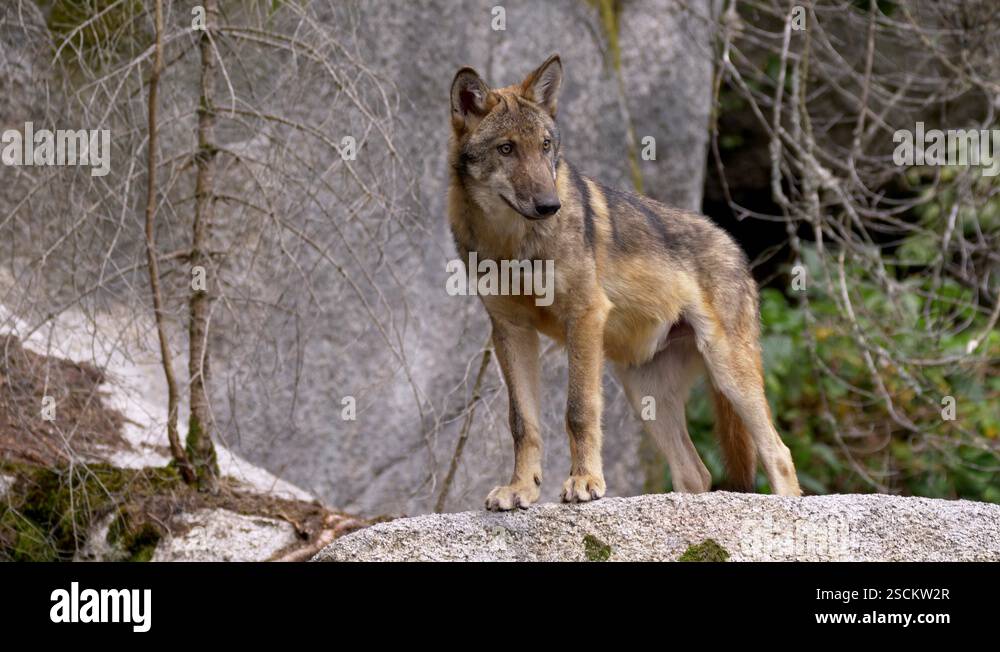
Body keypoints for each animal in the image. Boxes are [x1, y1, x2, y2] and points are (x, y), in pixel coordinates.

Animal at [447, 54, 801, 510]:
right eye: (506, 149)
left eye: (545, 146)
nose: (549, 205)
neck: (511, 241)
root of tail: (734, 245)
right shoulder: (510, 330)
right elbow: (523, 423)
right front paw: (520, 489)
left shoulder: (584, 315)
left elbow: (578, 410)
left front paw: (584, 482)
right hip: (644, 394)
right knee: (697, 473)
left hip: (729, 374)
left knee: (780, 453)